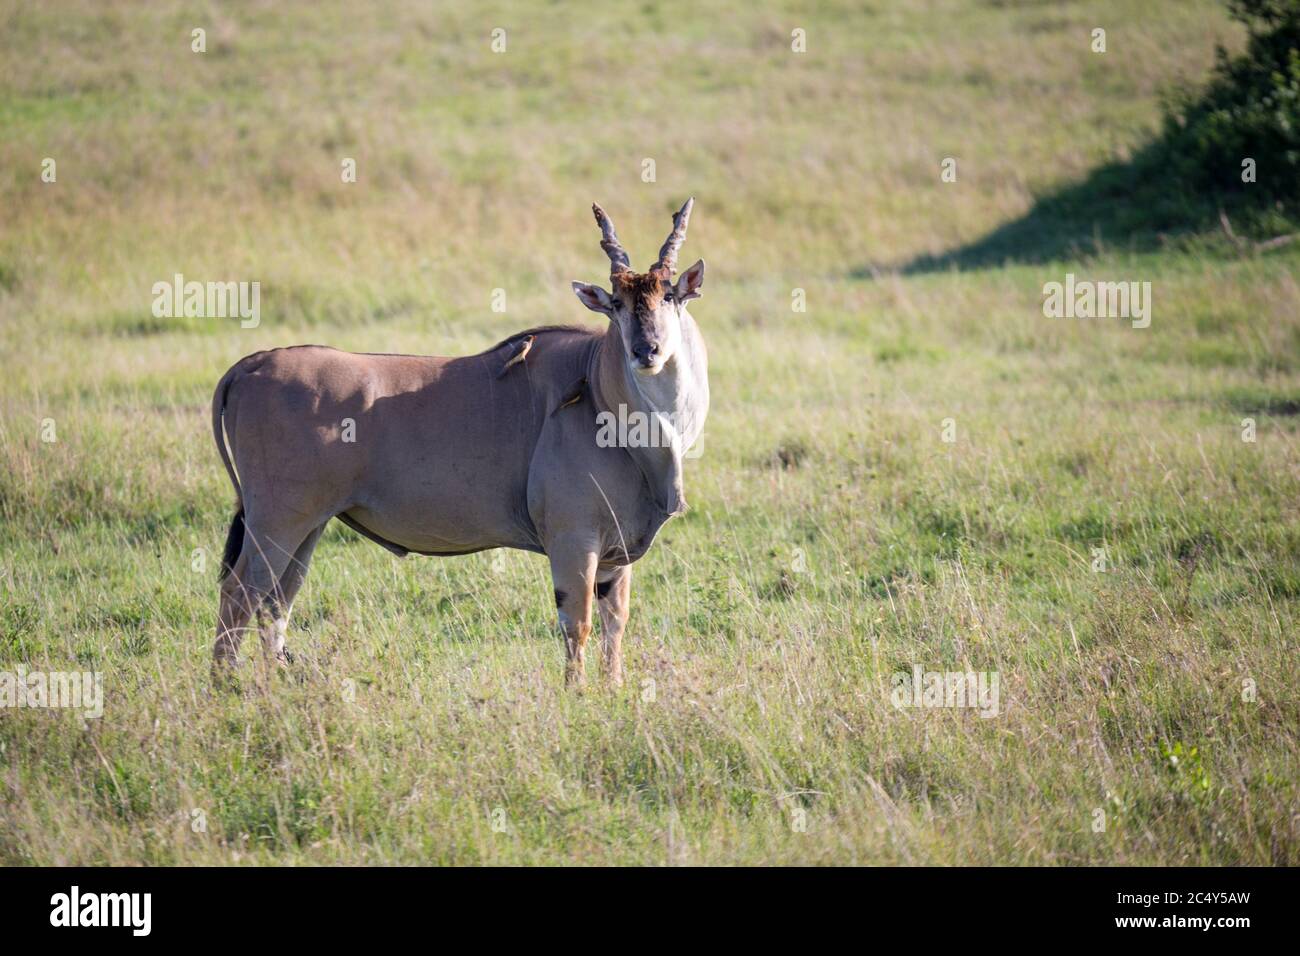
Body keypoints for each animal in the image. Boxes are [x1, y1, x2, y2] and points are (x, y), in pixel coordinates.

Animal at [211, 199, 707, 686]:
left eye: (668, 295)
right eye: (616, 304)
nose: (645, 350)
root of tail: (252, 364)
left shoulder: (614, 552)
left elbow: (615, 621)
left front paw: (613, 689)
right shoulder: (574, 538)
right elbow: (578, 624)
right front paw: (577, 695)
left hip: (308, 526)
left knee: (276, 601)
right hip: (277, 520)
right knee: (240, 593)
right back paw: (224, 687)